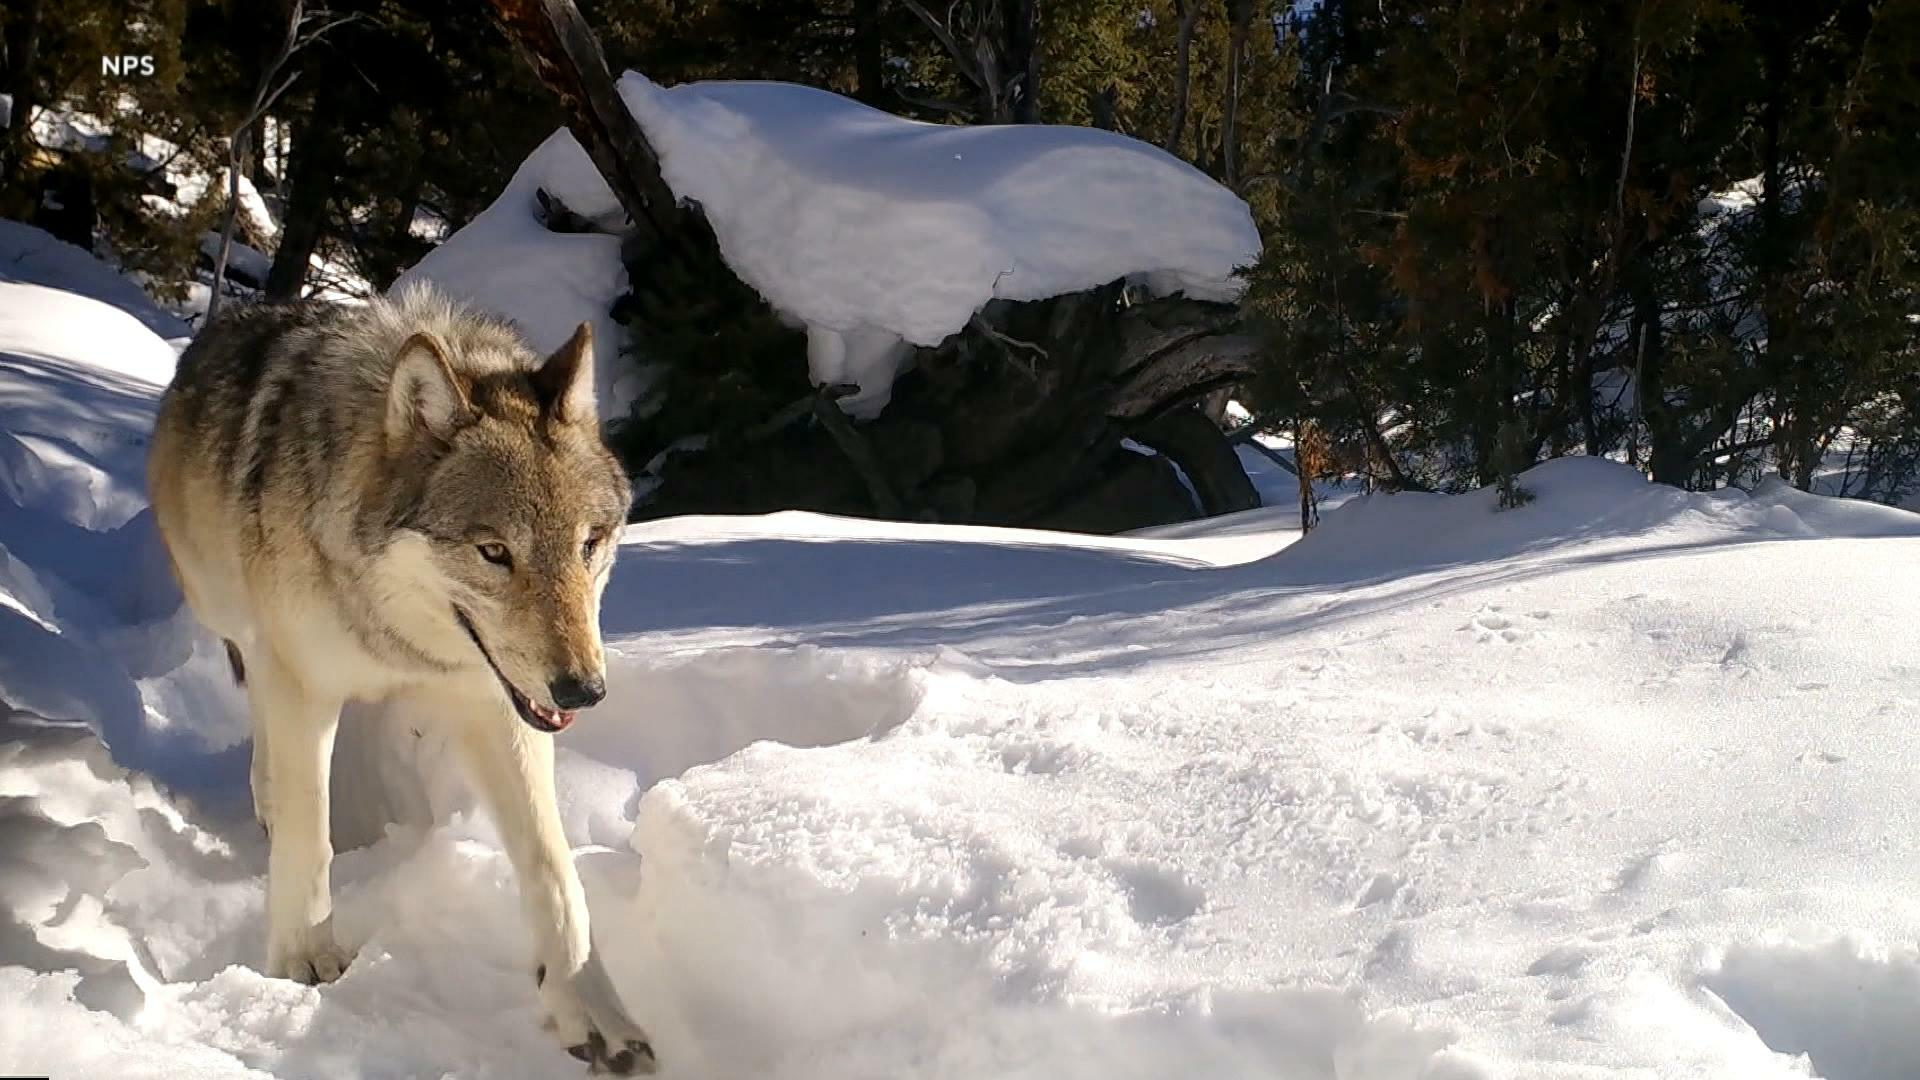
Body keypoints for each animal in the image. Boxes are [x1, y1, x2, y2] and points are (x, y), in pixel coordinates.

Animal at [147, 283, 655, 1075]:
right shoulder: (304, 685)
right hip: (228, 612)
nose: (583, 692)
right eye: (494, 552)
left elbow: (554, 871)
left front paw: (590, 1005)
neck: (399, 642)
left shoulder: (501, 707)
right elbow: (310, 834)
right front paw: (303, 959)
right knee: (260, 706)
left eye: (589, 545)